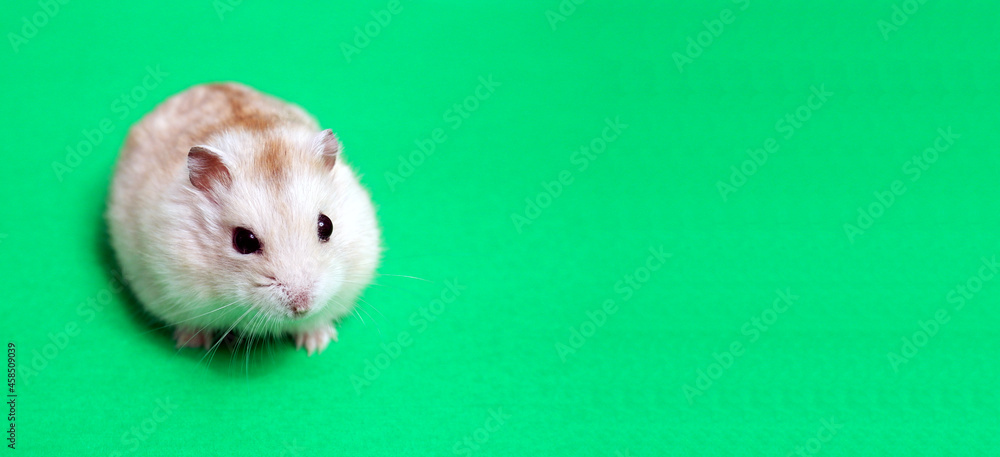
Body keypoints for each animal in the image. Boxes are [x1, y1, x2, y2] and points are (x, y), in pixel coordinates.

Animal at [107, 82, 381, 356]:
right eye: (244, 241)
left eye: (327, 226)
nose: (302, 307)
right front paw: (192, 343)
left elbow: (317, 321)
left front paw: (317, 344)